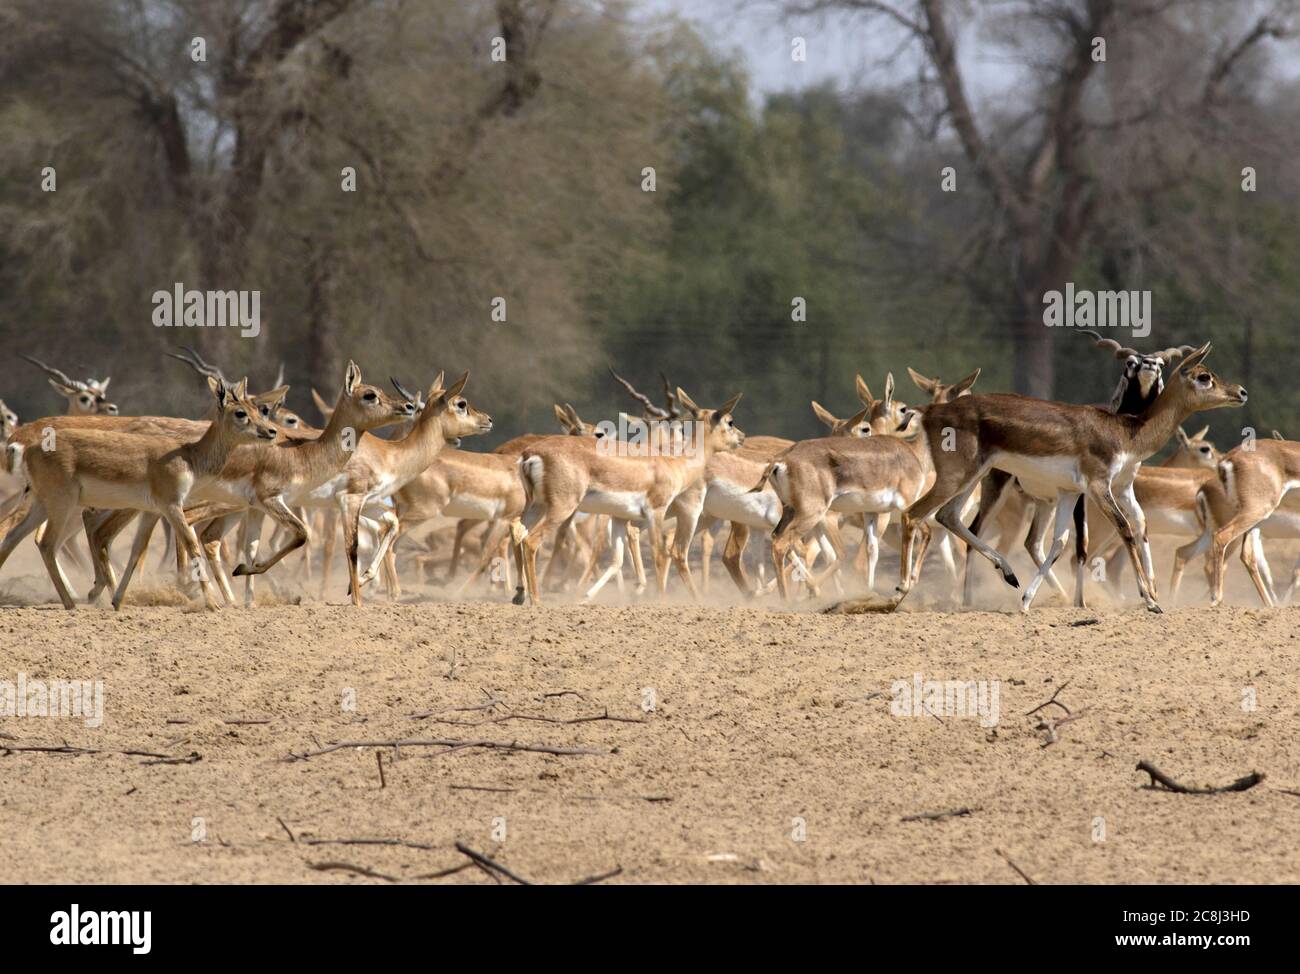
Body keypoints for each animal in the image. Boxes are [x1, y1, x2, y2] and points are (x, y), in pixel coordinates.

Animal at [19, 376, 278, 610]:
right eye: (240, 413)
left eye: (258, 410)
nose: (271, 431)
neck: (189, 456)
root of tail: (29, 449)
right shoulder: (172, 506)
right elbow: (191, 543)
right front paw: (212, 603)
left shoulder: (153, 511)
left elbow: (138, 550)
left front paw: (119, 600)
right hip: (65, 506)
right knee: (52, 541)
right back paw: (72, 601)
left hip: (49, 506)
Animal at [895, 344, 1246, 614]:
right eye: (1204, 376)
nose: (1241, 392)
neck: (1128, 432)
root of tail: (929, 411)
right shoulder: (1099, 486)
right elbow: (1124, 530)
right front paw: (1150, 601)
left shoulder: (1082, 491)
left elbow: (1061, 542)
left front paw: (1026, 601)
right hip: (961, 477)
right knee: (914, 515)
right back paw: (899, 592)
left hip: (973, 477)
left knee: (949, 517)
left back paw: (1008, 576)